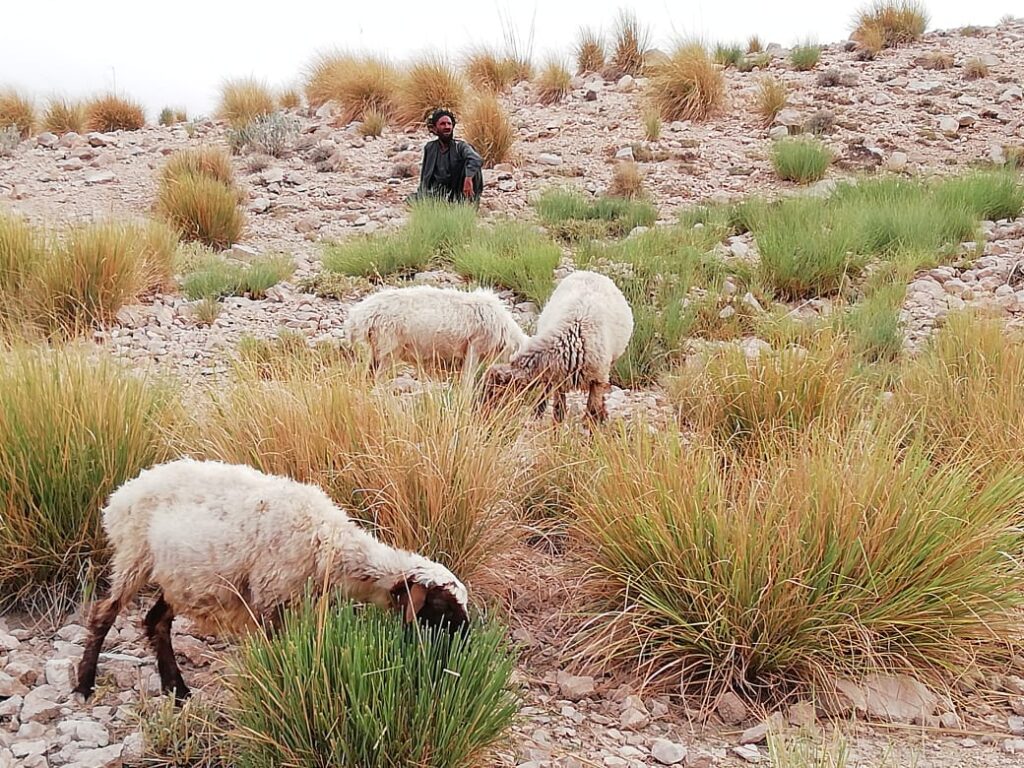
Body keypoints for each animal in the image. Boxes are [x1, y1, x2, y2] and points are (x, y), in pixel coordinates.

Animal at [74, 457, 469, 703]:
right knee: (105, 613)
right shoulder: (270, 597)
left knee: (156, 622)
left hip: (181, 576)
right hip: (134, 556)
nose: (465, 646)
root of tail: (121, 494)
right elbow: (278, 654)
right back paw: (84, 684)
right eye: (441, 608)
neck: (330, 545)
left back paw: (178, 691)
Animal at [481, 270, 633, 422]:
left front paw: (596, 421)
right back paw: (538, 411)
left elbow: (592, 410)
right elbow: (559, 411)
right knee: (546, 389)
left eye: (495, 392)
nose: (482, 416)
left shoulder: (597, 379)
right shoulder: (560, 379)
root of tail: (589, 272)